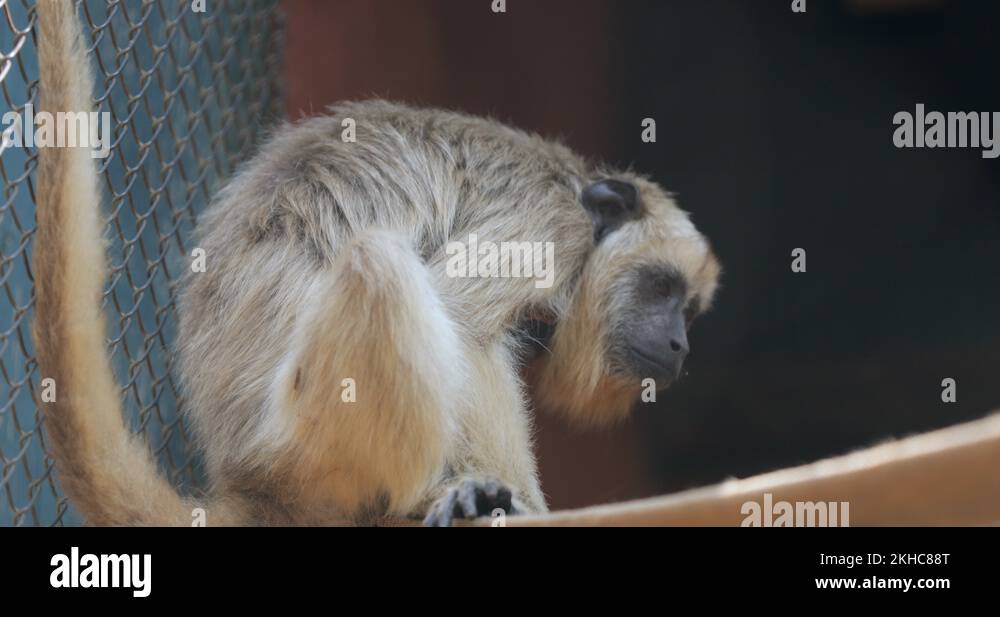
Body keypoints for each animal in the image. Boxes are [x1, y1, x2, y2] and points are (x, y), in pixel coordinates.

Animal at [32, 0, 720, 526]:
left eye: (688, 311)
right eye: (662, 287)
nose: (680, 343)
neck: (576, 190)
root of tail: (249, 481)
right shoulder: (549, 224)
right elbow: (466, 324)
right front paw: (514, 501)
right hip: (304, 445)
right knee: (380, 263)